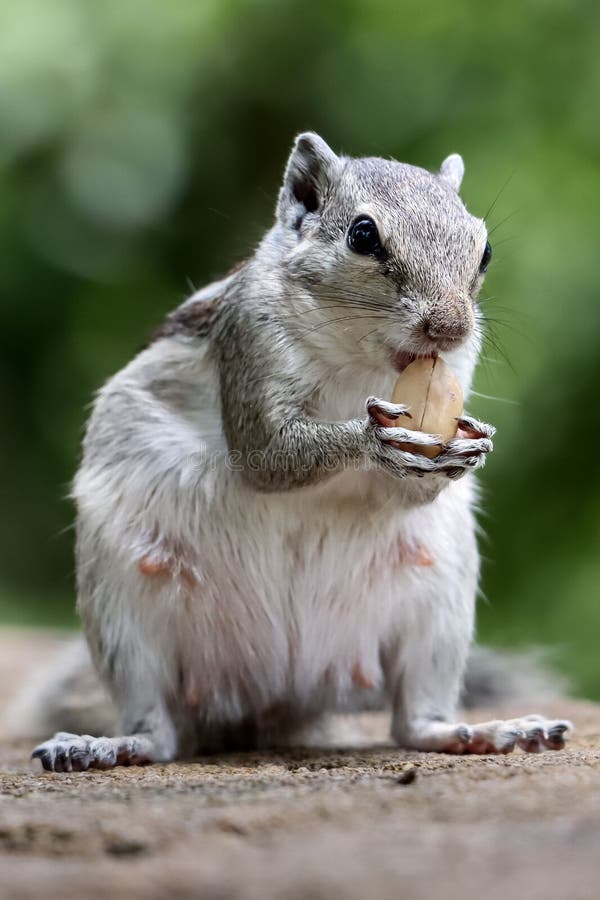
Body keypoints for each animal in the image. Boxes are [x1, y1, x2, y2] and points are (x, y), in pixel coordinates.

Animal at [29, 133, 570, 771]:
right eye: (362, 235)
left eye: (483, 251)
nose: (450, 328)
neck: (359, 351)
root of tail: (271, 693)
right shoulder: (249, 338)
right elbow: (267, 454)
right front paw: (371, 440)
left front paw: (469, 446)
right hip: (122, 611)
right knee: (159, 731)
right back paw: (105, 744)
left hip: (440, 601)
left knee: (413, 722)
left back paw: (482, 731)